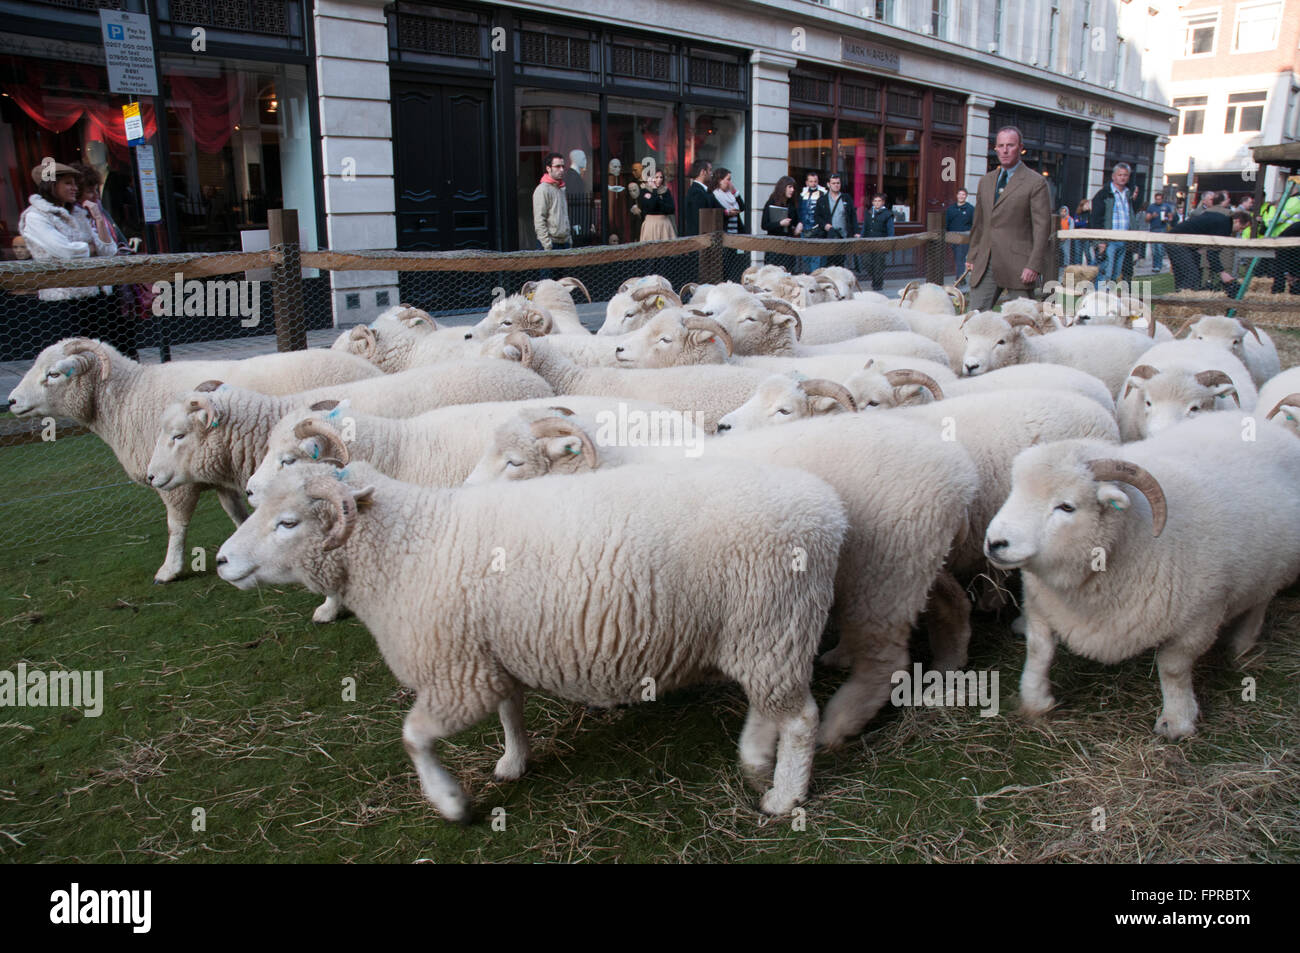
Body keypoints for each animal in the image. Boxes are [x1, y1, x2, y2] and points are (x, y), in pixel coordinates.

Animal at [4, 337, 382, 583]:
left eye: (53, 374)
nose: (10, 402)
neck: (125, 399)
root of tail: (368, 366)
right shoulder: (218, 474)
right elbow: (236, 511)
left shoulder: (174, 480)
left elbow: (176, 525)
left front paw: (168, 570)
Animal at [216, 458, 847, 819]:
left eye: (289, 522)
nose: (220, 561)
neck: (407, 544)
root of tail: (831, 512)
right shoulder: (492, 656)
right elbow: (510, 711)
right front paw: (513, 762)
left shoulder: (457, 674)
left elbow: (413, 736)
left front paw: (450, 801)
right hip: (763, 632)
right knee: (771, 705)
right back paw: (755, 755)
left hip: (774, 623)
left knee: (800, 718)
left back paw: (784, 796)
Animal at [464, 406, 980, 747]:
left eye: (514, 462)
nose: (464, 499)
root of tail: (961, 474)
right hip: (916, 561)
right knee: (953, 603)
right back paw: (945, 670)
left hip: (887, 567)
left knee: (885, 660)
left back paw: (836, 727)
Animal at [984, 411, 1300, 738]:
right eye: (1014, 490)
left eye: (1066, 506)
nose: (995, 543)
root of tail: (1256, 420)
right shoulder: (1041, 602)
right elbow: (1039, 650)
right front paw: (1036, 700)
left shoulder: (1199, 618)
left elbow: (1173, 668)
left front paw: (1177, 721)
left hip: (1277, 566)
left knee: (1261, 602)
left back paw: (1242, 644)